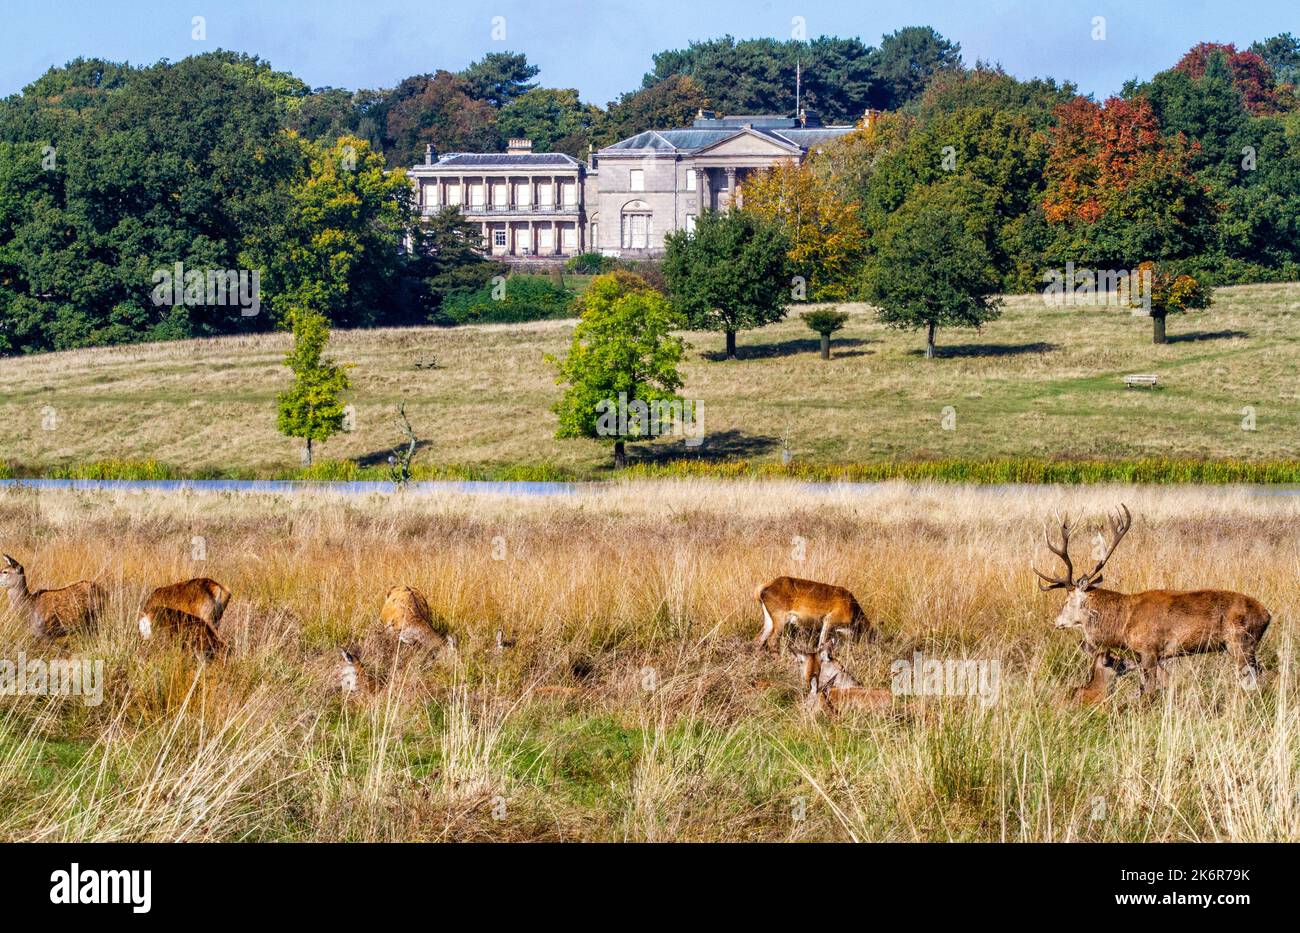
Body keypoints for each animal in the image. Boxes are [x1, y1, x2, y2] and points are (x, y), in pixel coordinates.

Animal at [1034, 504, 1272, 695]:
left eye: (1067, 601)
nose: (1057, 621)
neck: (1123, 623)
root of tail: (1267, 615)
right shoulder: (1154, 655)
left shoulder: (1149, 649)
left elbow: (1149, 689)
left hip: (1241, 642)